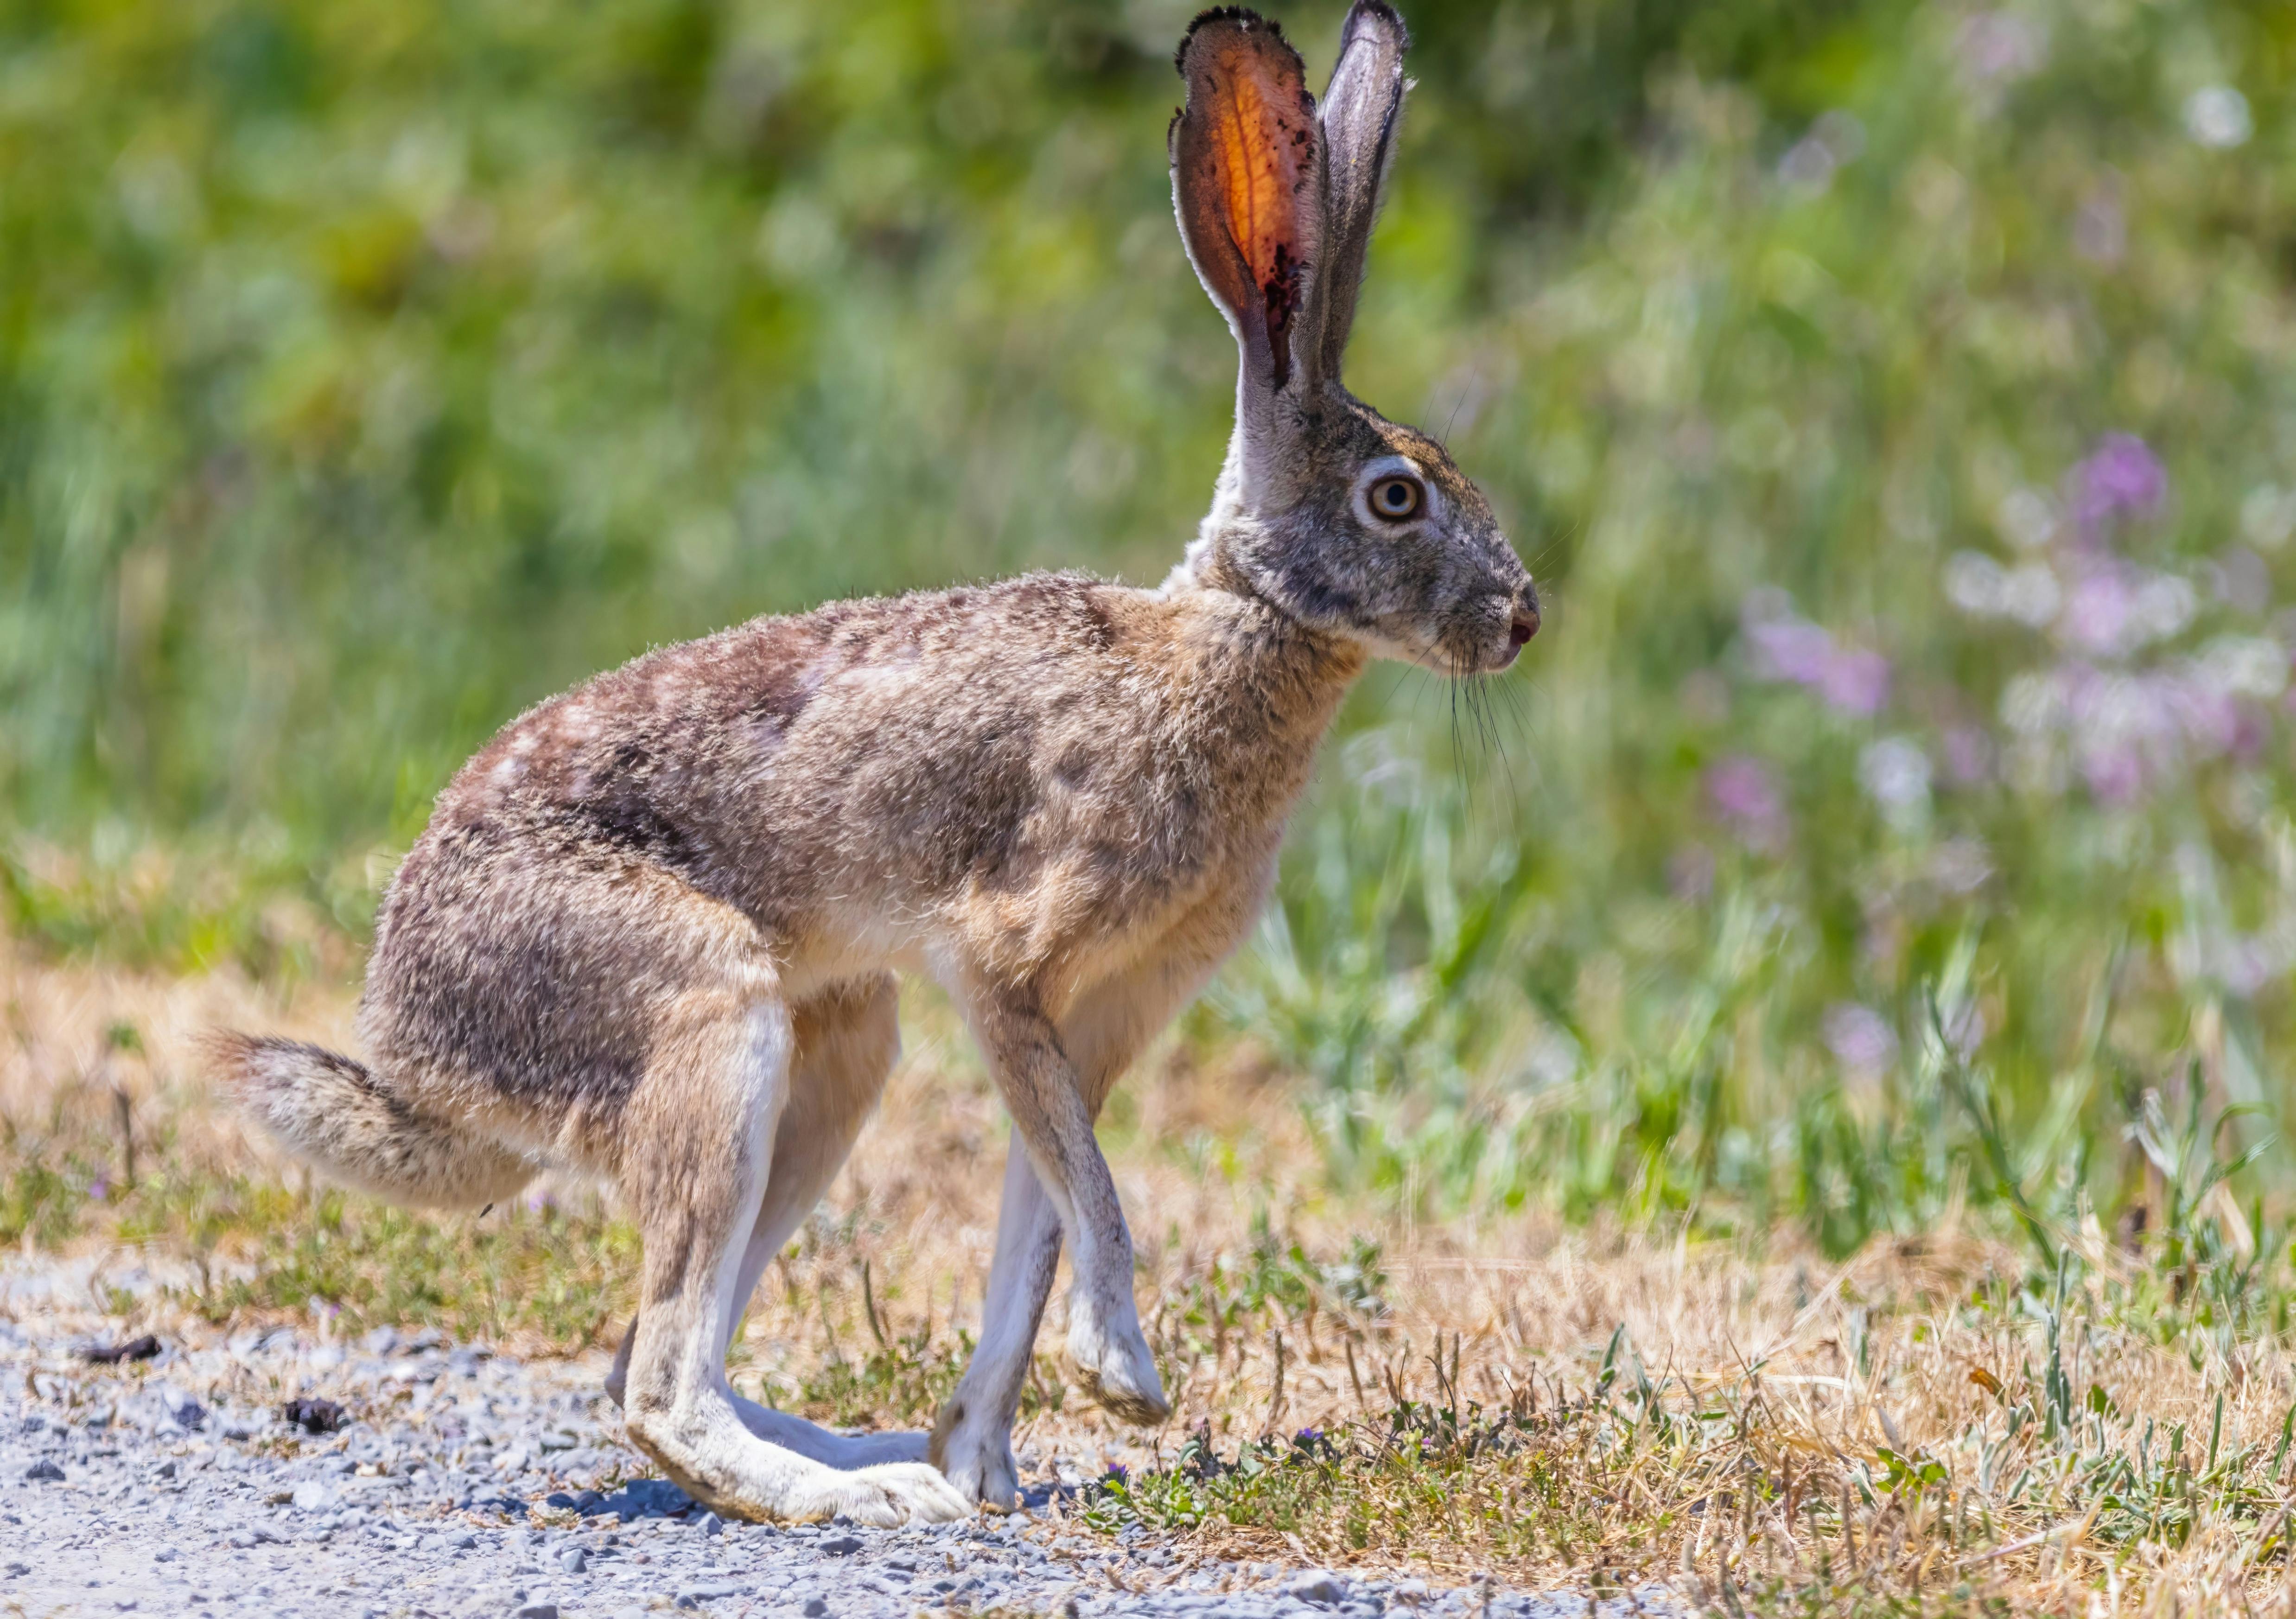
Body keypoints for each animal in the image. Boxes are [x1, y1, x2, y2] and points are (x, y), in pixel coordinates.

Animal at [210, 0, 1537, 1526]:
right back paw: (868, 1497)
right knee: (657, 1384)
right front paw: (1122, 1386)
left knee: (648, 1361)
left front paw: (993, 1458)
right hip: (705, 1017)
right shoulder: (1010, 965)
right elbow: (1091, 1196)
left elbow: (1041, 1216)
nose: (1523, 619)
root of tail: (411, 1048)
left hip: (839, 1048)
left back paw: (884, 1462)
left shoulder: (1097, 1019)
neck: (1223, 638)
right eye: (1397, 498)